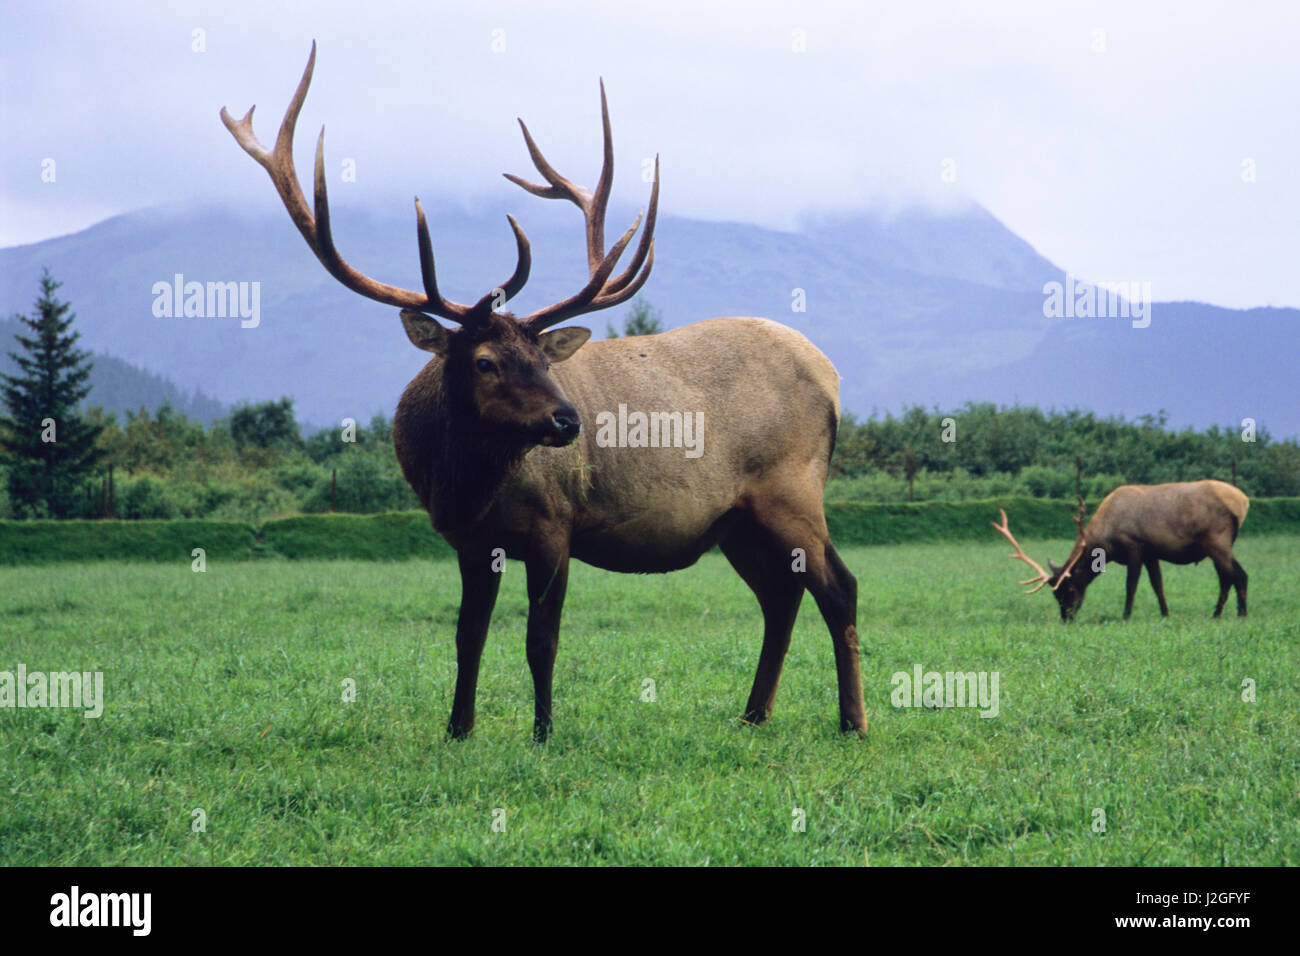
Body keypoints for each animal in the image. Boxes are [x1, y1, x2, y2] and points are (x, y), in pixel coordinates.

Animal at [220, 43, 866, 741]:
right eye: (483, 361)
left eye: (540, 358)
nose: (567, 422)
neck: (461, 483)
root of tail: (833, 379)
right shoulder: (471, 543)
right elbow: (467, 637)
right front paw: (458, 730)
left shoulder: (556, 526)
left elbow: (542, 640)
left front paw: (543, 733)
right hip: (737, 520)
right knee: (782, 595)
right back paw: (752, 714)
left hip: (790, 490)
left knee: (839, 586)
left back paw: (852, 722)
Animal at [992, 480, 1250, 622]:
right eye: (1055, 595)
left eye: (1071, 588)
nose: (1067, 617)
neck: (1107, 545)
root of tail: (1243, 503)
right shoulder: (1151, 553)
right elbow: (1158, 586)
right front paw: (1165, 614)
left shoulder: (1134, 547)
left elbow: (1131, 585)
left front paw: (1125, 616)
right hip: (1219, 546)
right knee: (1232, 577)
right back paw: (1222, 614)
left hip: (1217, 541)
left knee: (1236, 576)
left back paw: (1237, 614)